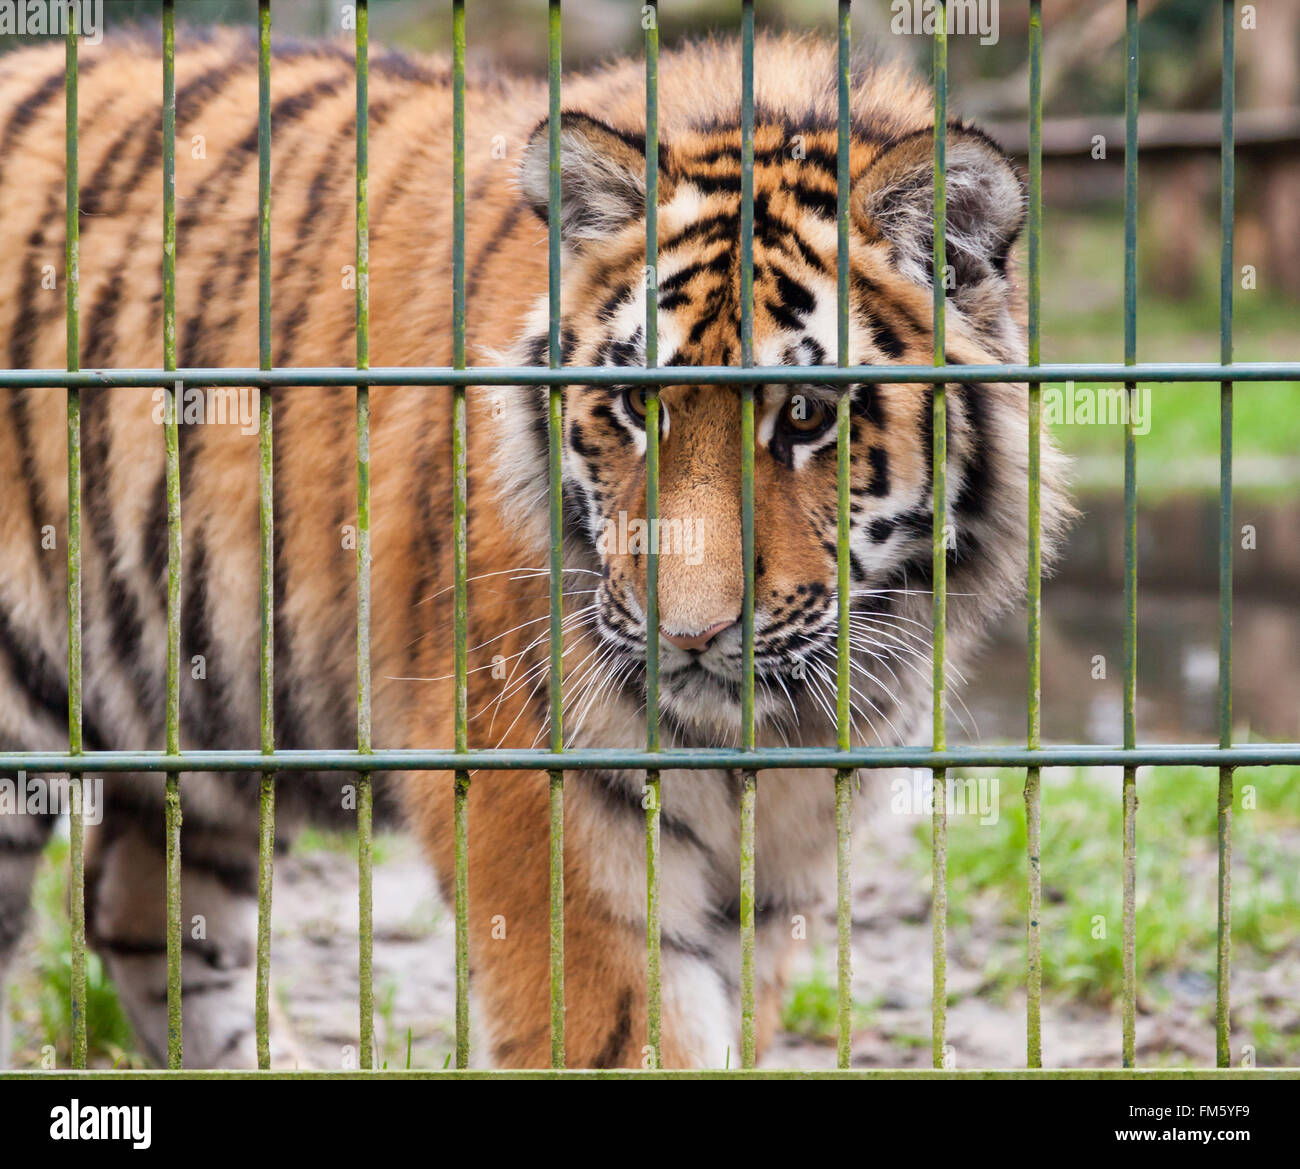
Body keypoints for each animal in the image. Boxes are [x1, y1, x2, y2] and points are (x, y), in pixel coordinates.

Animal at [0, 26, 1071, 1070]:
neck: (771, 732)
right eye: (637, 404)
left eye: (806, 415)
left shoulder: (782, 861)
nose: (689, 633)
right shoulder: (543, 807)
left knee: (141, 913)